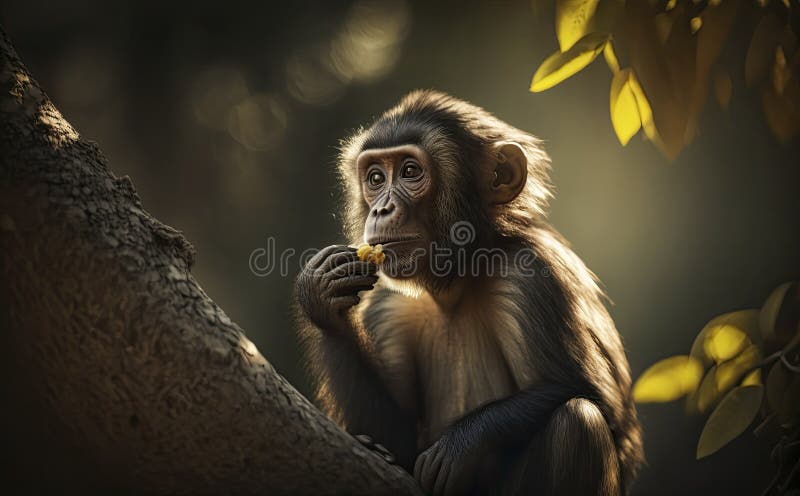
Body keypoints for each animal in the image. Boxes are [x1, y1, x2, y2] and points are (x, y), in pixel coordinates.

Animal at [294, 90, 643, 495]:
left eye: (410, 171)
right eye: (376, 177)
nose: (381, 208)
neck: (459, 282)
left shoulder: (533, 274)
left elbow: (590, 397)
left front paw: (463, 443)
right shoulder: (389, 306)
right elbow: (393, 438)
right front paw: (322, 294)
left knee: (578, 424)